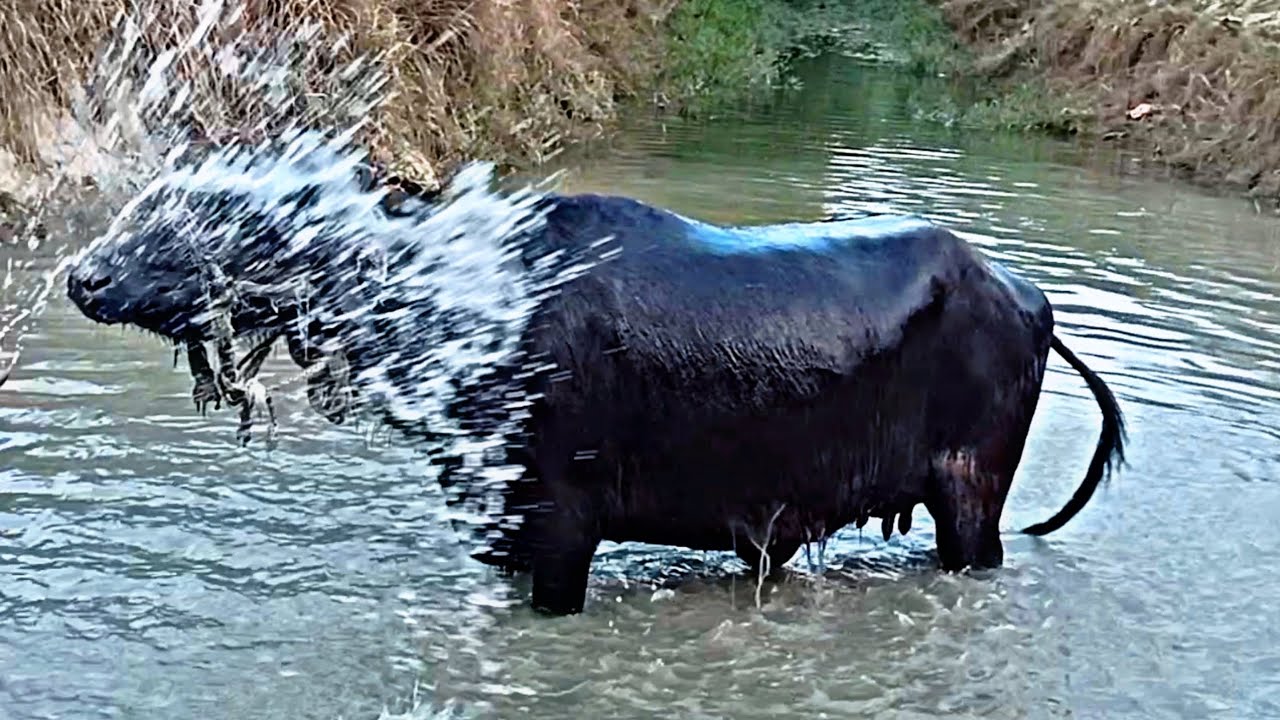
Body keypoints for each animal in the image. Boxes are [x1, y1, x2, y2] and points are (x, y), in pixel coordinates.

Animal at [65, 157, 1125, 616]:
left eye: (198, 221)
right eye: (150, 205)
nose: (84, 276)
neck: (461, 302)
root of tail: (1021, 294)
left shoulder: (562, 519)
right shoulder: (499, 516)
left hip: (970, 499)